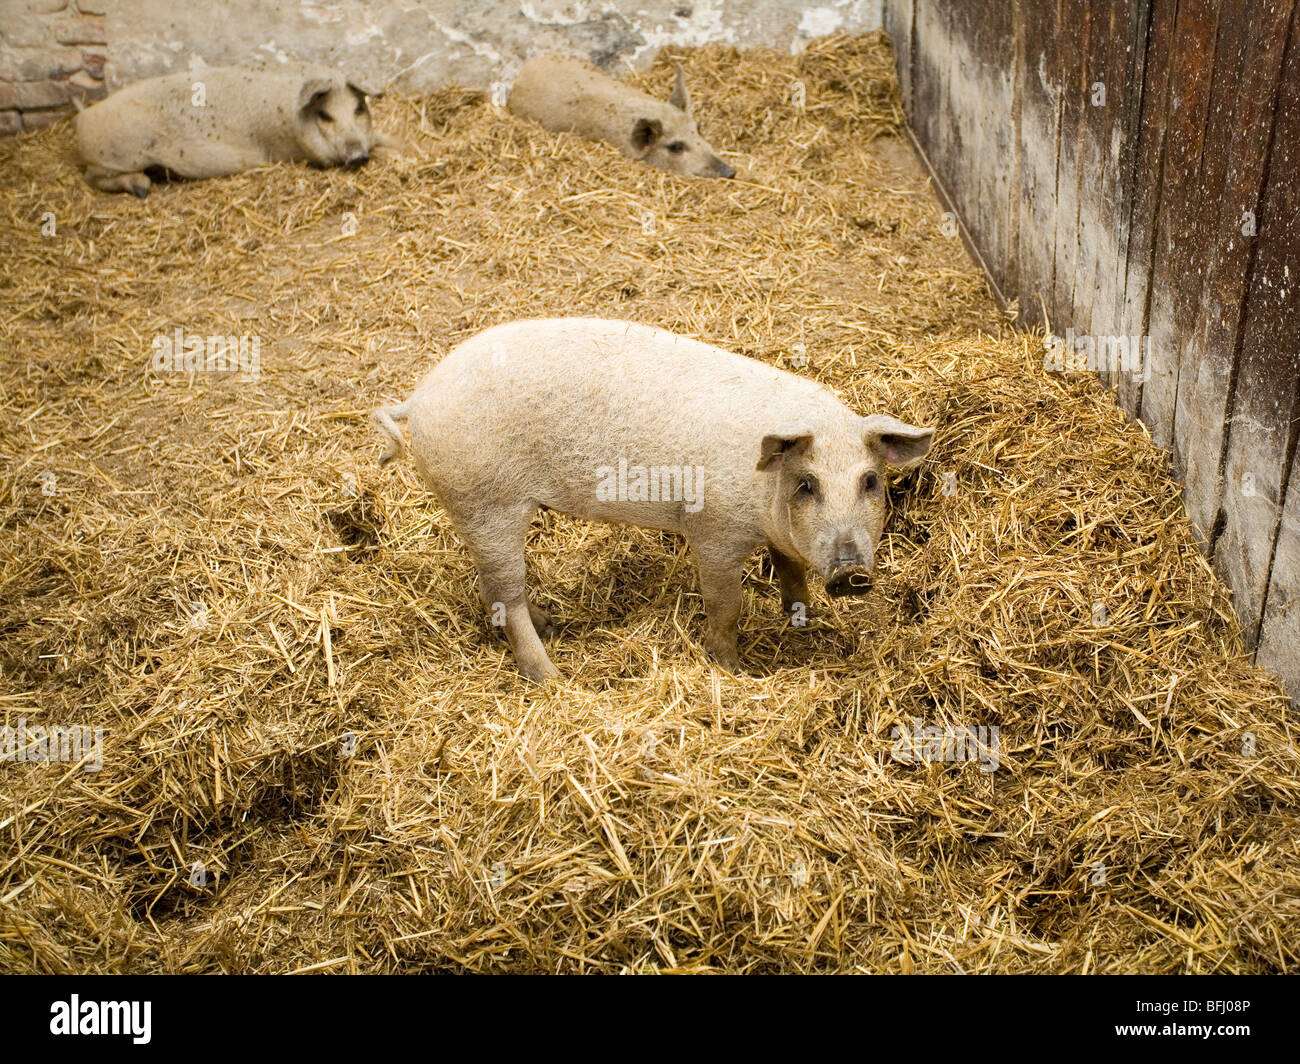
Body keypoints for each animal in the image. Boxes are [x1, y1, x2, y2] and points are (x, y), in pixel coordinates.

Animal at [74, 62, 401, 197]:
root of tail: (85, 116)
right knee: (92, 177)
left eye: (359, 108)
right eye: (324, 115)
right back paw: (142, 187)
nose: (357, 156)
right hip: (116, 155)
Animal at [373, 318, 934, 682]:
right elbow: (725, 605)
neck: (764, 497)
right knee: (504, 597)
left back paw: (552, 626)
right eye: (807, 484)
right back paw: (553, 677)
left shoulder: (779, 538)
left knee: (495, 591)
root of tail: (416, 400)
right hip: (487, 503)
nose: (851, 573)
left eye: (870, 481)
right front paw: (733, 668)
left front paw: (803, 620)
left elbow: (791, 572)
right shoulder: (713, 531)